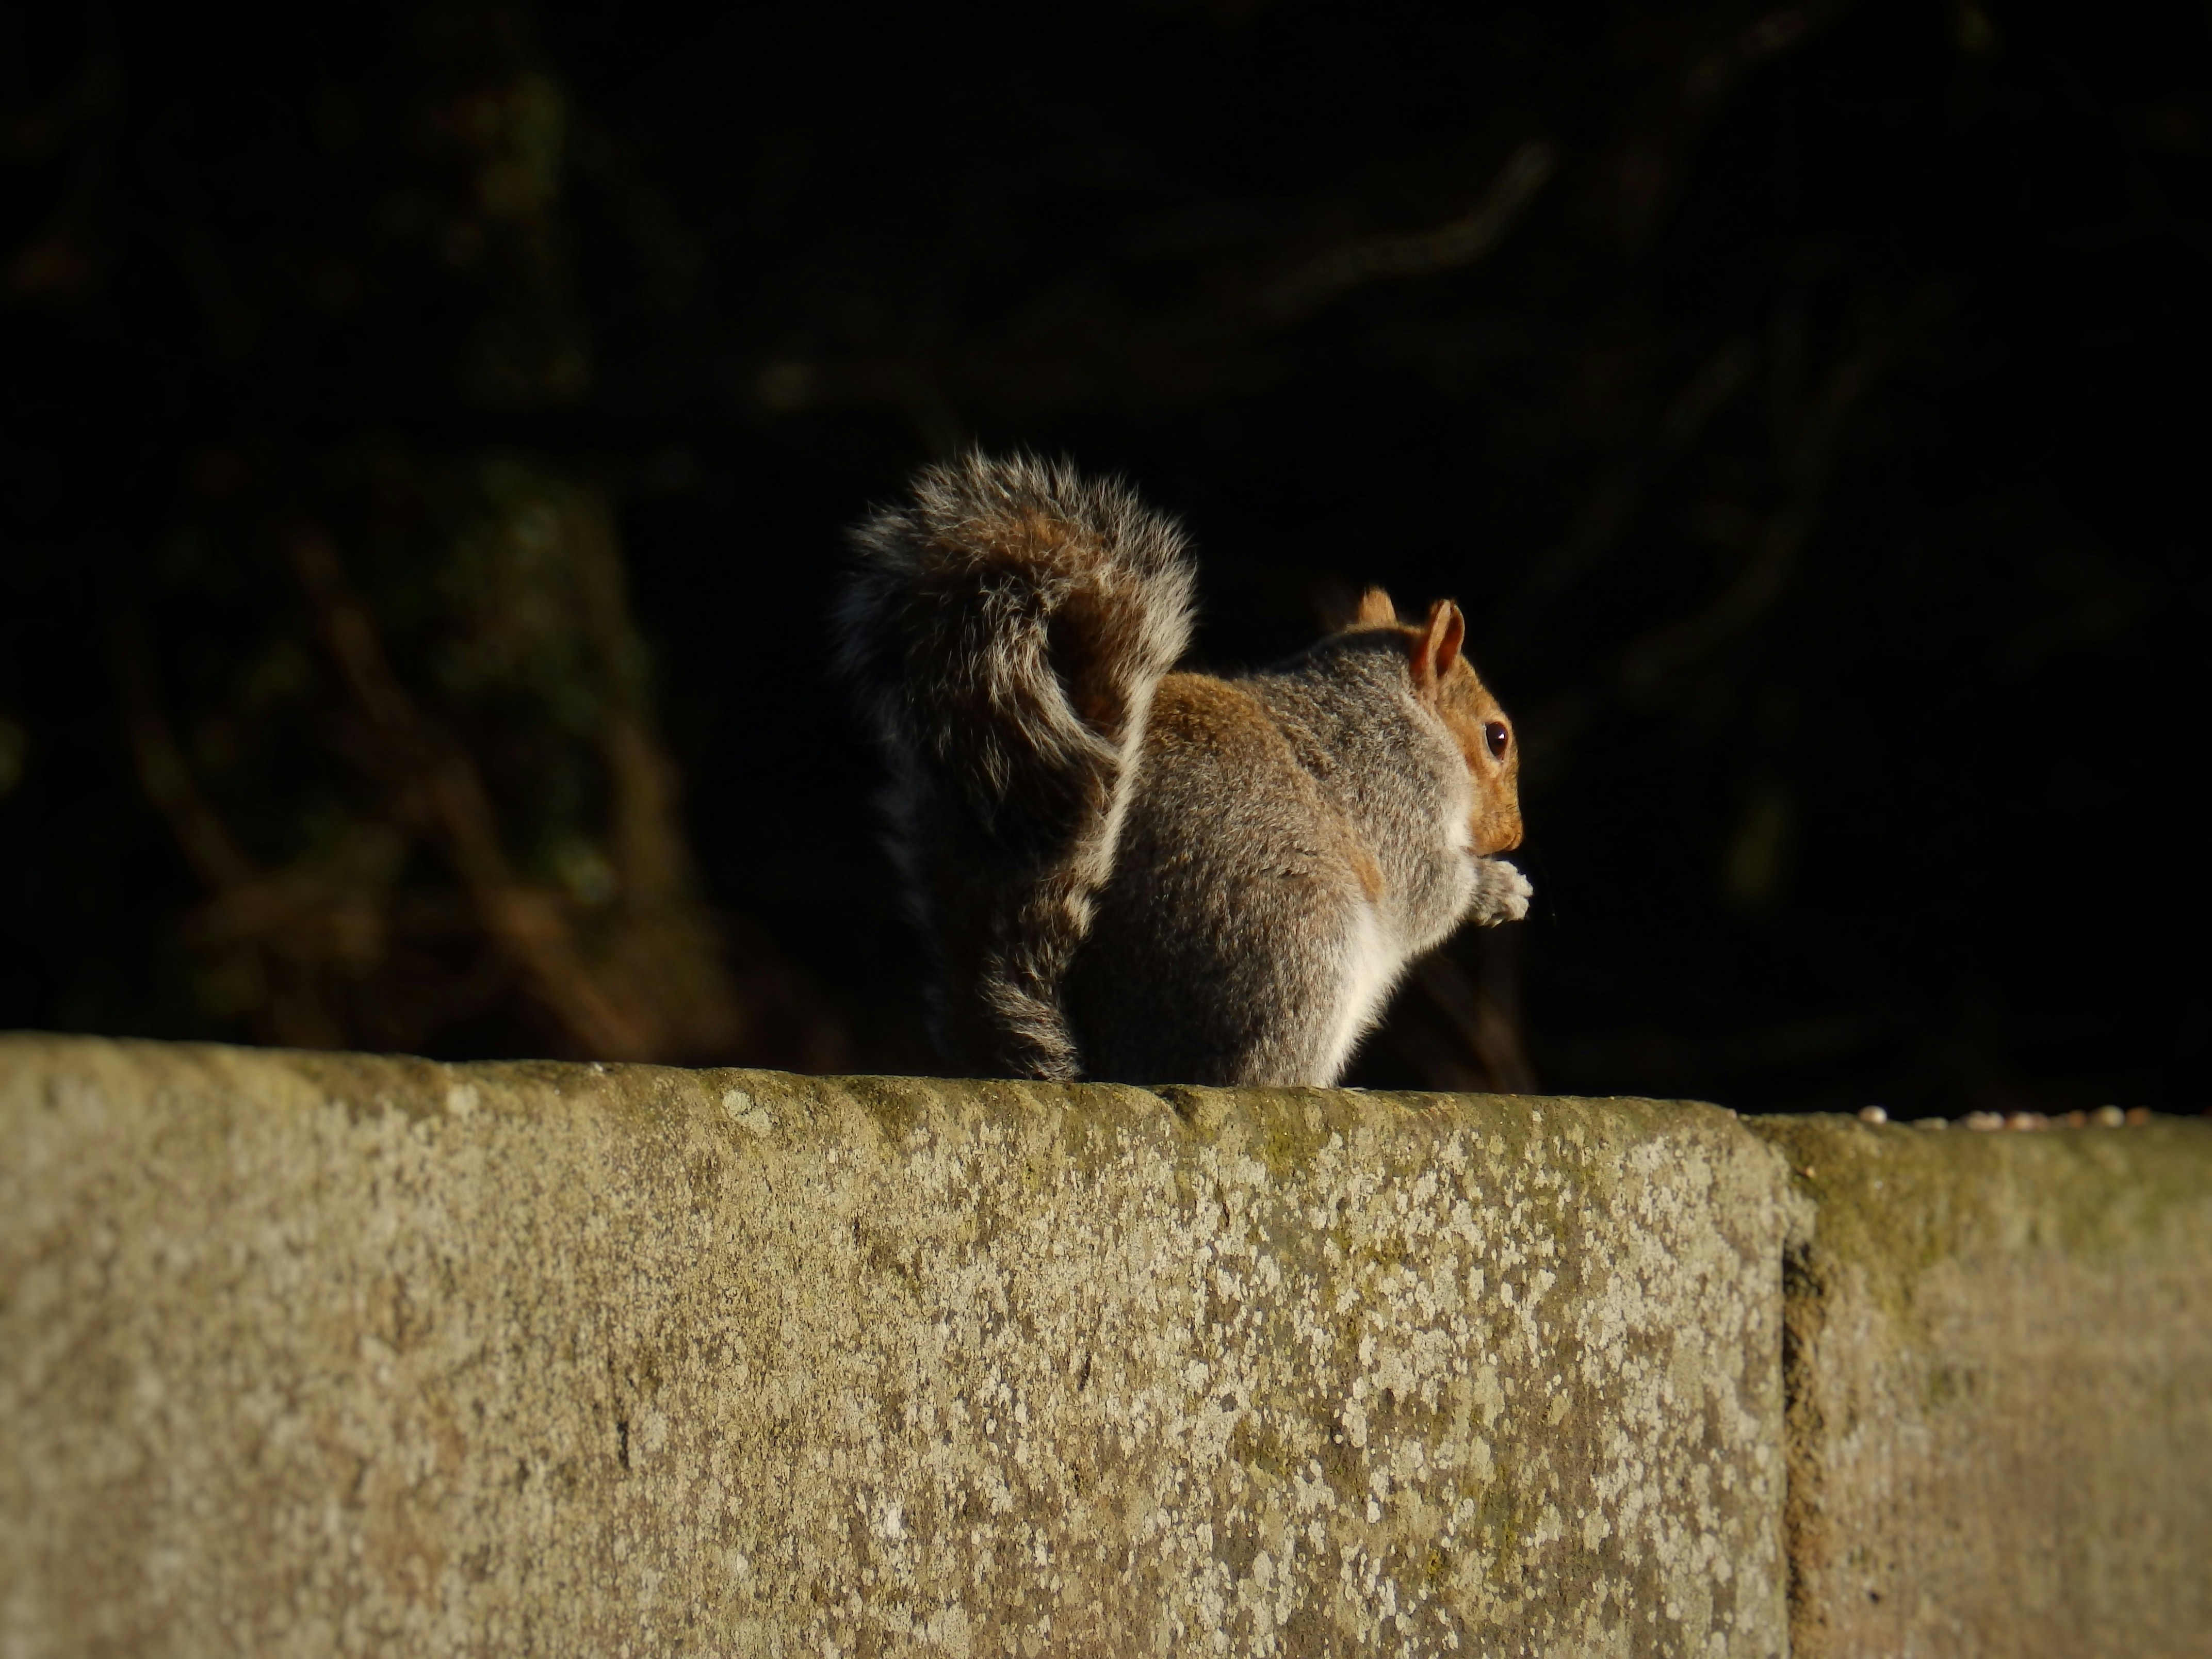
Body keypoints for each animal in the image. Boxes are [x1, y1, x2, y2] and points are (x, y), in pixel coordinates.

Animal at [836, 452, 1531, 1088]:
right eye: (1496, 738)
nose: (1514, 834)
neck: (1403, 714)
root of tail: (1107, 1067)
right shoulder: (1392, 789)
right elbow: (1424, 889)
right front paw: (1496, 887)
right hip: (1299, 937)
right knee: (1253, 1073)